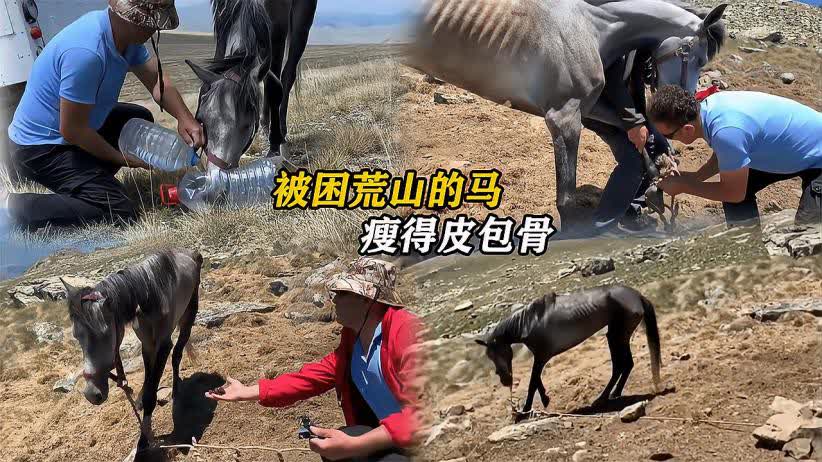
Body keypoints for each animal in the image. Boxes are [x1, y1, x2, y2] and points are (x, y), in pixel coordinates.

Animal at [61, 249, 202, 450]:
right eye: (76, 336)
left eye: (105, 334)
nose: (91, 394)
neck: (147, 296)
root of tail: (192, 254)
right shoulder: (147, 342)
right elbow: (149, 373)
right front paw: (141, 400)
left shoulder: (163, 345)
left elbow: (153, 389)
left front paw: (144, 438)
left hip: (188, 317)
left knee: (177, 354)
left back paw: (176, 389)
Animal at [185, 0, 317, 172]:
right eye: (201, 118)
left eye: (247, 126)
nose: (216, 174)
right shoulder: (222, 23)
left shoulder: (278, 28)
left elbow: (274, 87)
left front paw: (274, 147)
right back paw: (266, 126)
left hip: (302, 19)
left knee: (287, 76)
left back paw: (281, 136)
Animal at [409, 0, 727, 231]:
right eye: (698, 58)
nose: (689, 108)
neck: (589, 29)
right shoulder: (564, 119)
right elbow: (566, 197)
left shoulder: (589, 107)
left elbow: (638, 126)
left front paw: (657, 169)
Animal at [475, 285, 661, 415]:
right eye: (489, 357)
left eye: (500, 352)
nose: (505, 380)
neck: (530, 321)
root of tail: (638, 296)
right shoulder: (540, 356)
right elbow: (537, 380)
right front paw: (545, 399)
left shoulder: (541, 356)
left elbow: (533, 382)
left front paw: (526, 409)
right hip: (616, 336)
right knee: (625, 365)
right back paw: (614, 394)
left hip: (617, 336)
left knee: (621, 365)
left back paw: (602, 398)